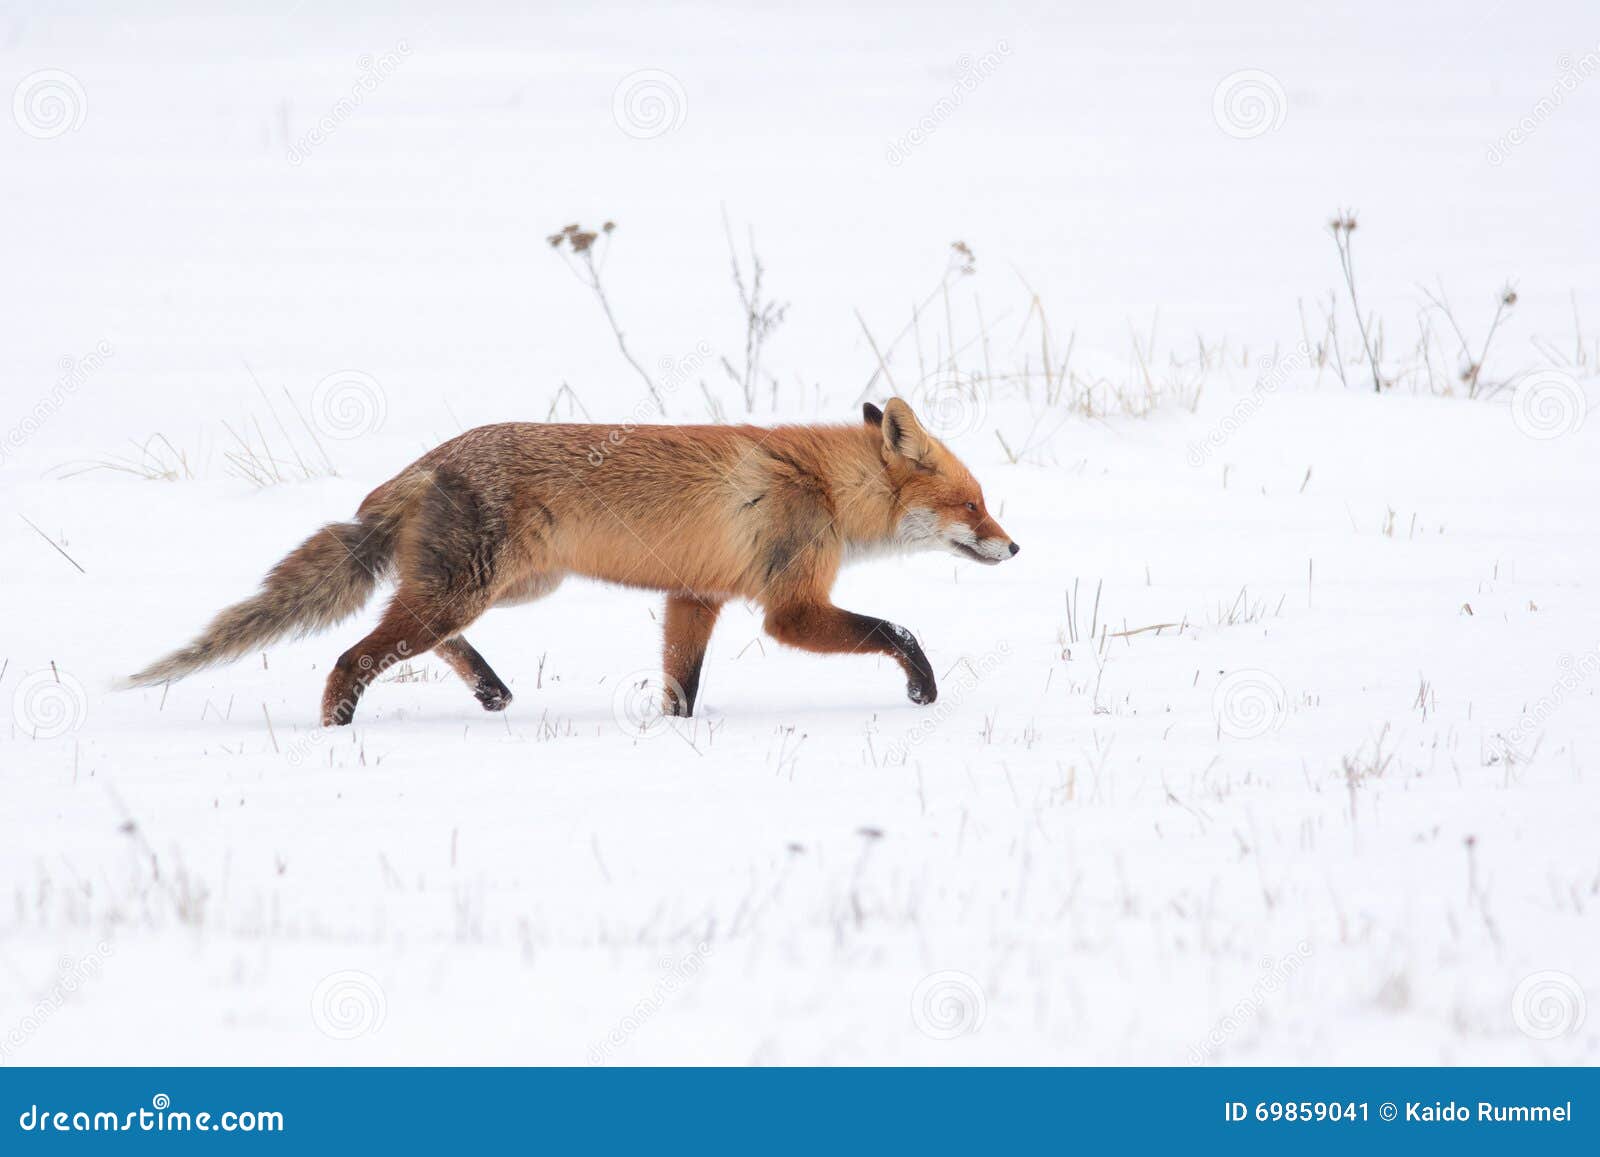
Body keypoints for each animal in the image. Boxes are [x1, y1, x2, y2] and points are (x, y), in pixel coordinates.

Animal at [126, 397, 1019, 726]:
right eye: (974, 505)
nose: (1016, 546)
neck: (827, 488)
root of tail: (423, 462)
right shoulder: (789, 607)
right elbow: (899, 630)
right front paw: (923, 689)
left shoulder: (694, 596)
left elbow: (681, 688)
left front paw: (675, 734)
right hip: (474, 590)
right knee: (355, 655)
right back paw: (337, 727)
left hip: (500, 591)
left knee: (424, 637)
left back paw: (491, 690)